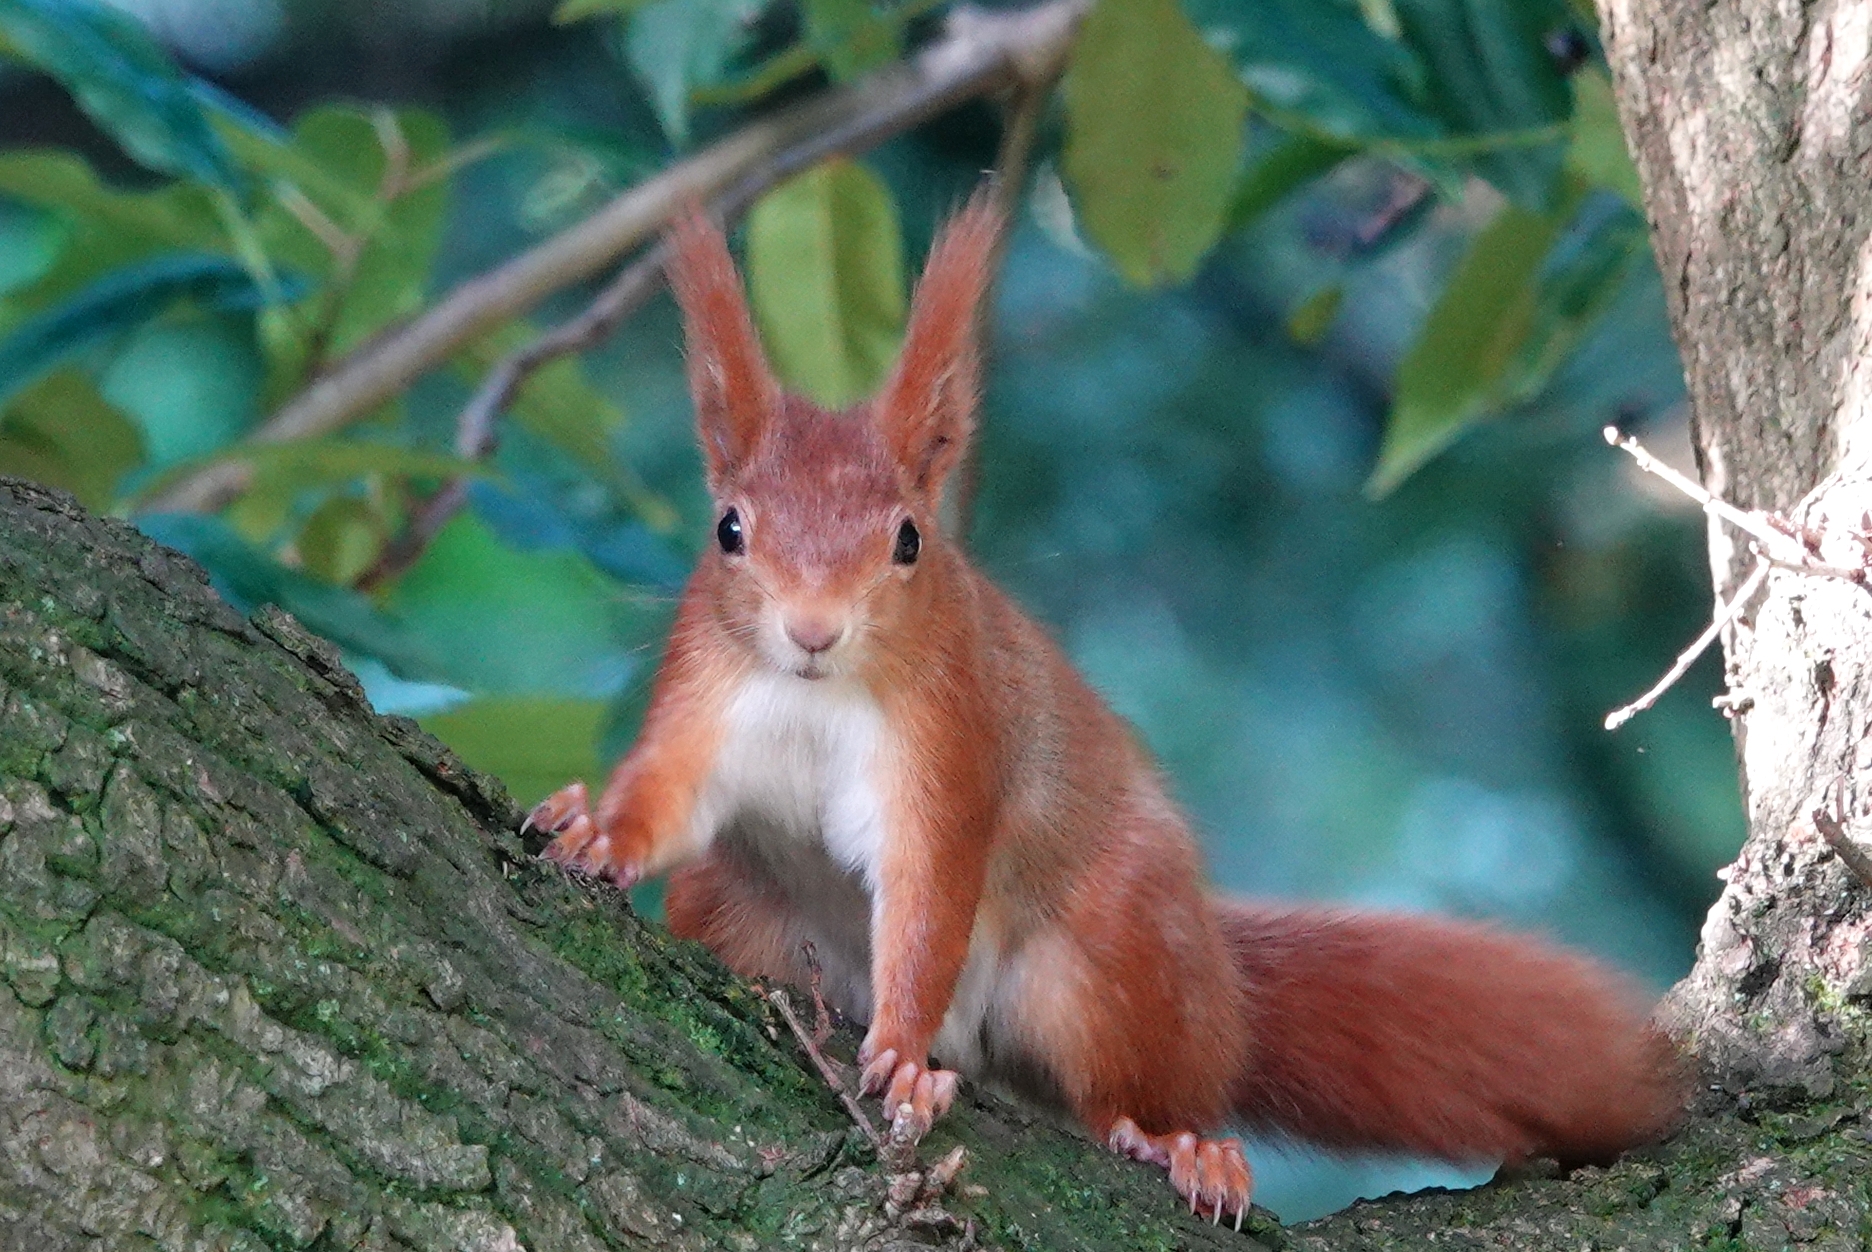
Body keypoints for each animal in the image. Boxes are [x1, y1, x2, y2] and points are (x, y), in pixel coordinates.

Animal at [528, 190, 1684, 1226]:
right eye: (729, 528)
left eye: (909, 540)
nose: (813, 631)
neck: (818, 696)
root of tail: (1226, 995)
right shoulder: (706, 689)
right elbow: (668, 792)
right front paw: (595, 830)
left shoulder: (952, 734)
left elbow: (929, 889)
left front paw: (899, 1052)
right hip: (743, 913)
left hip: (1108, 955)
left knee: (1122, 1092)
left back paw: (1175, 1143)